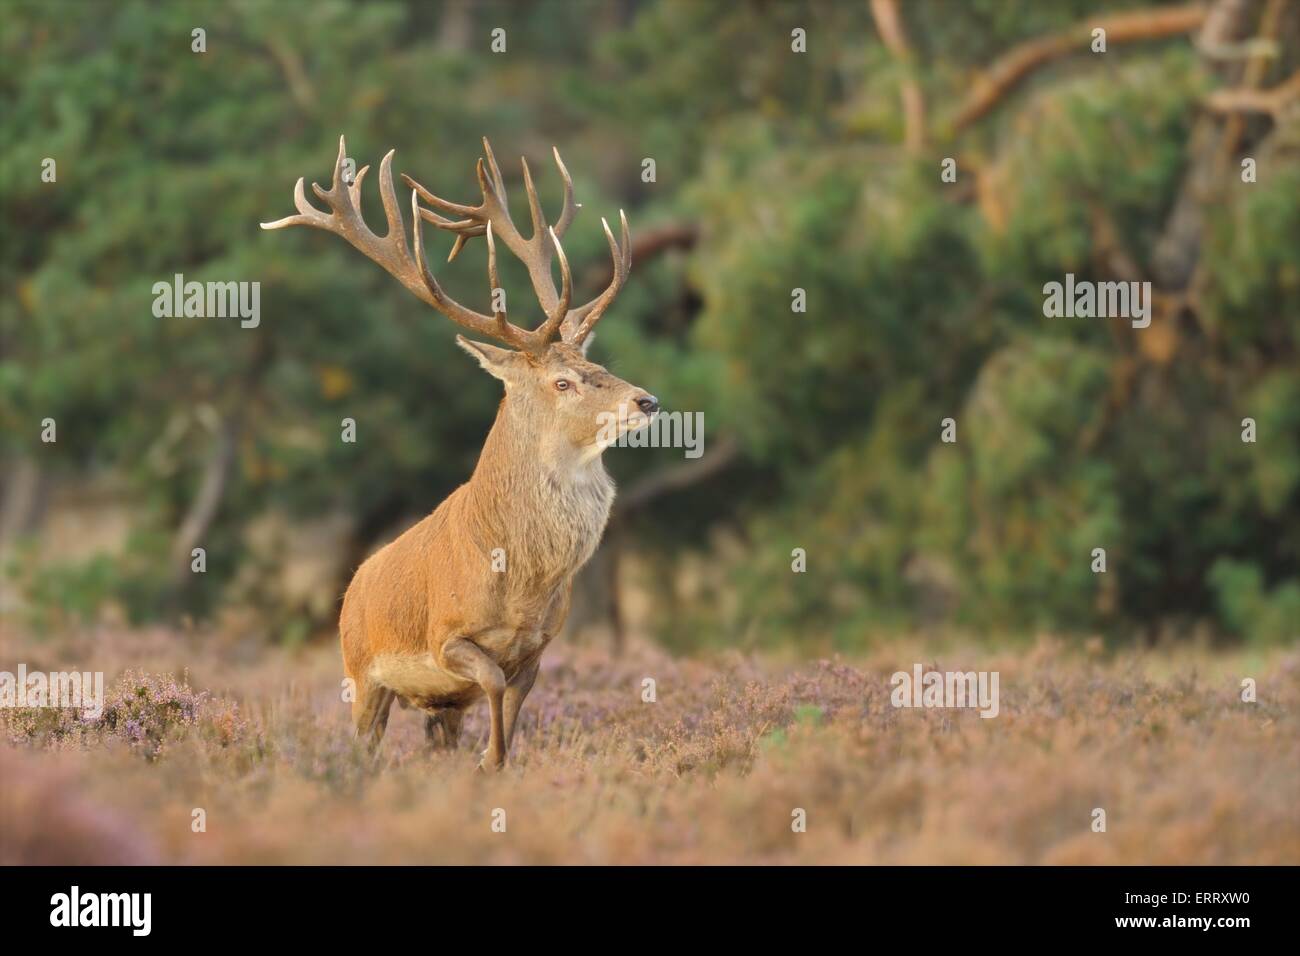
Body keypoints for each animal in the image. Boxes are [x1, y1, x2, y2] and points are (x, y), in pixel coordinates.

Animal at [262, 136, 657, 769]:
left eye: (597, 364)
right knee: (364, 742)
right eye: (562, 382)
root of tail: (352, 587)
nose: (647, 400)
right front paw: (487, 761)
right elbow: (491, 682)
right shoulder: (446, 637)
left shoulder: (540, 647)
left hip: (432, 702)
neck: (517, 580)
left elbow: (511, 706)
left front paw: (495, 763)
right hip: (359, 671)